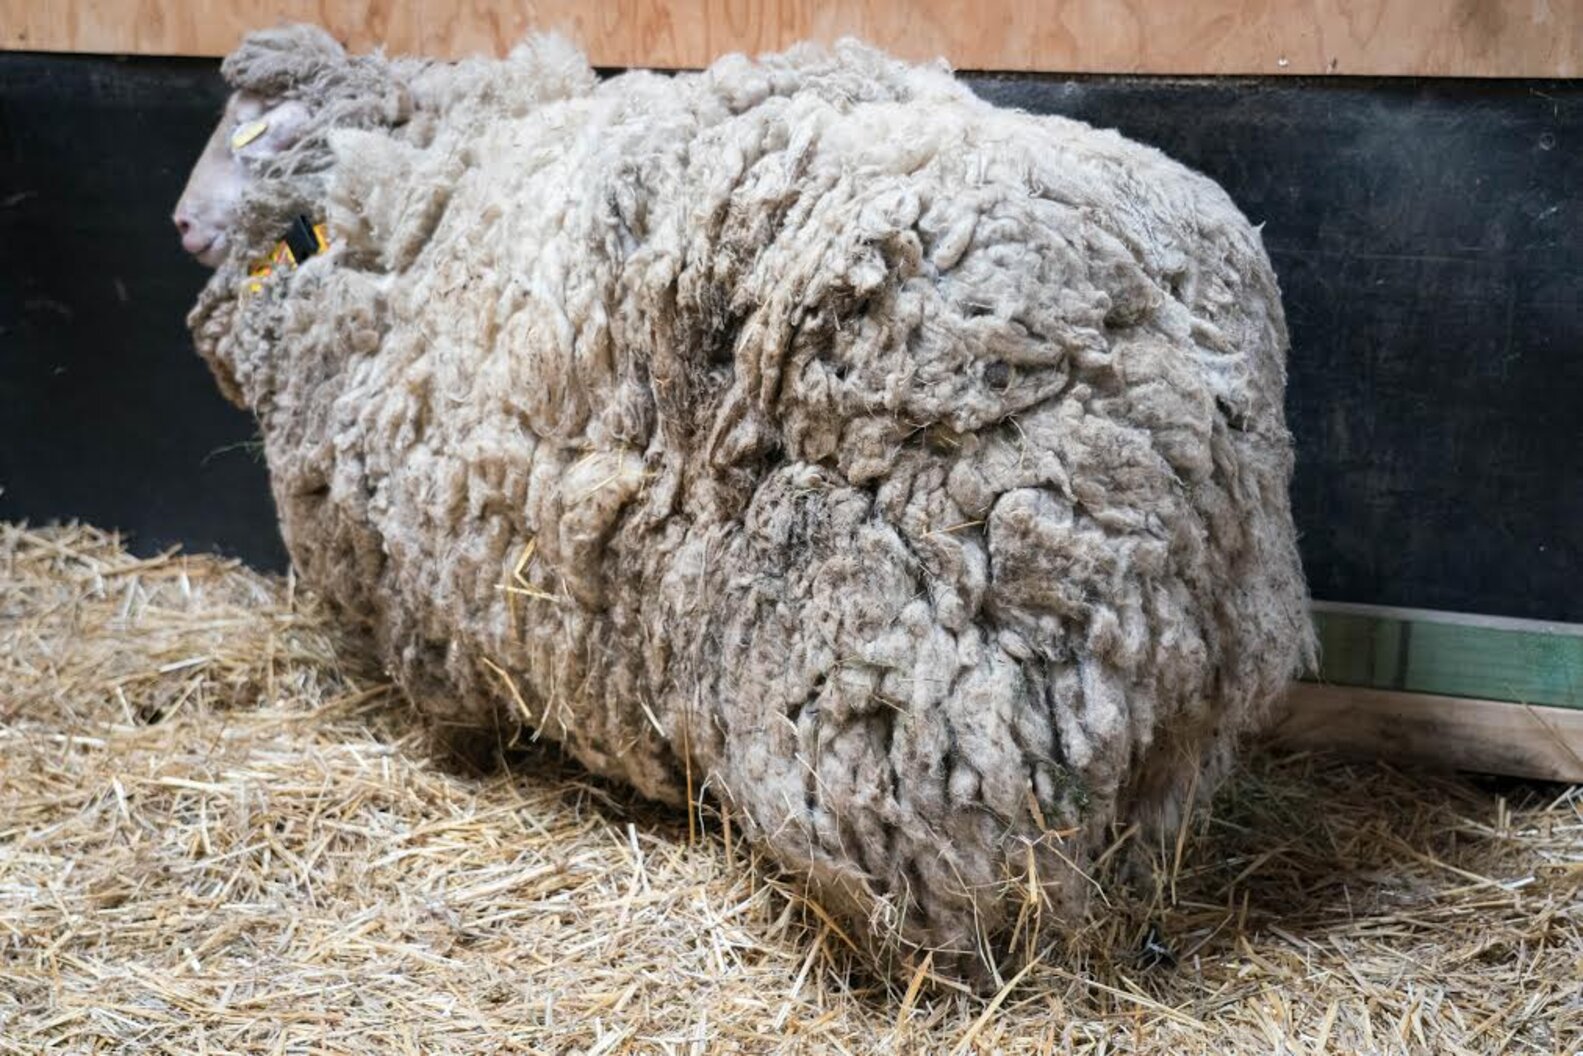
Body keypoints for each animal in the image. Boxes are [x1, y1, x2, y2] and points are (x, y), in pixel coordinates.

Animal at [175, 23, 1315, 983]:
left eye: (257, 133)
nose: (184, 222)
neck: (427, 187)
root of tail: (1172, 327)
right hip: (1177, 658)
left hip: (911, 651)